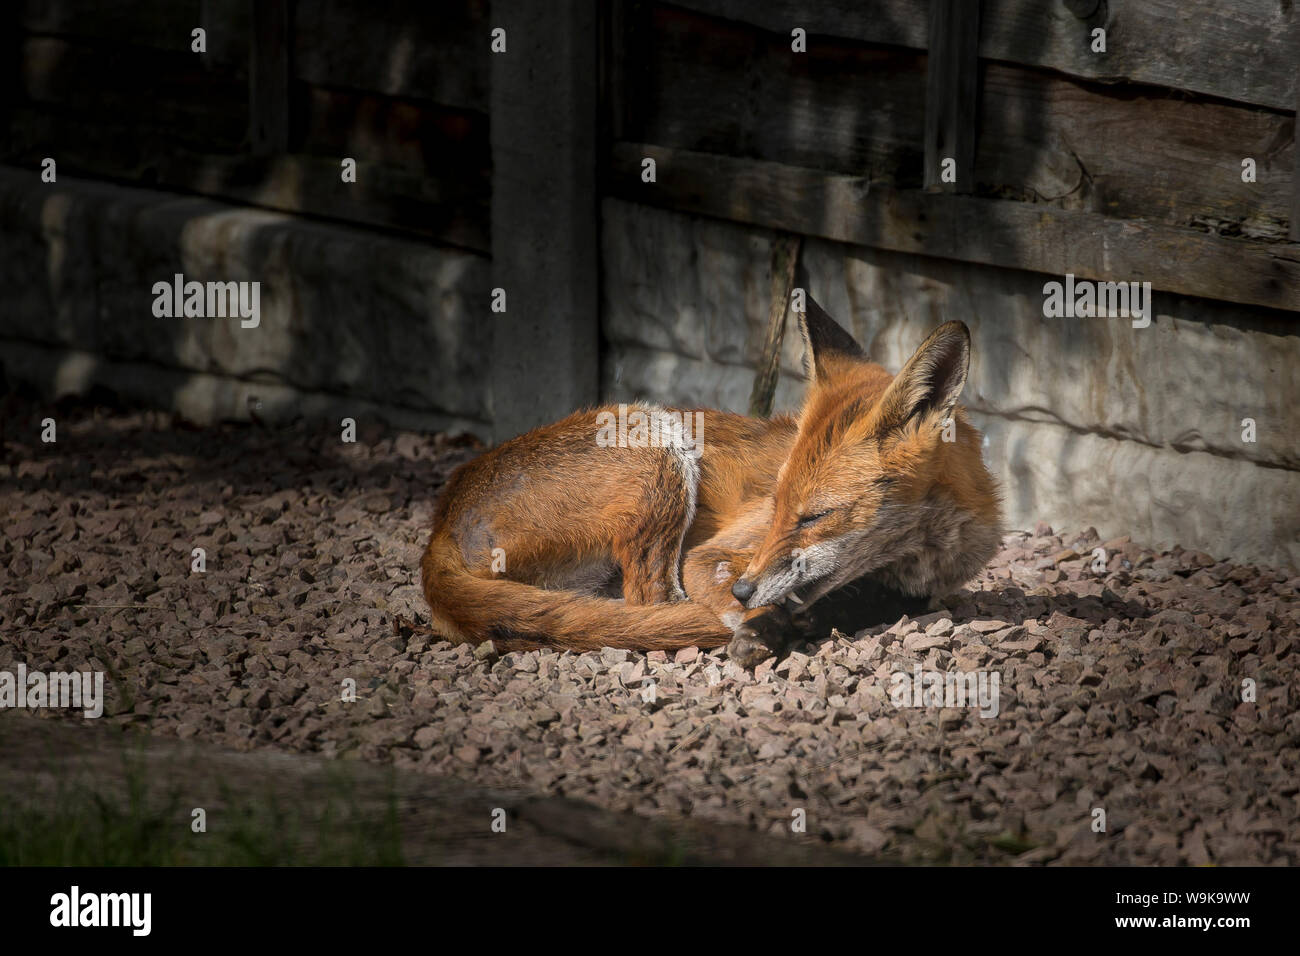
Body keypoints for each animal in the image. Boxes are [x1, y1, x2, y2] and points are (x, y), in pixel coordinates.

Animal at [420, 294, 1002, 667]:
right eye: (777, 504)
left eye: (814, 516)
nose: (744, 587)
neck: (914, 562)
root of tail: (441, 520)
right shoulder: (710, 558)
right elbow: (743, 606)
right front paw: (764, 629)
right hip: (656, 445)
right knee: (649, 602)